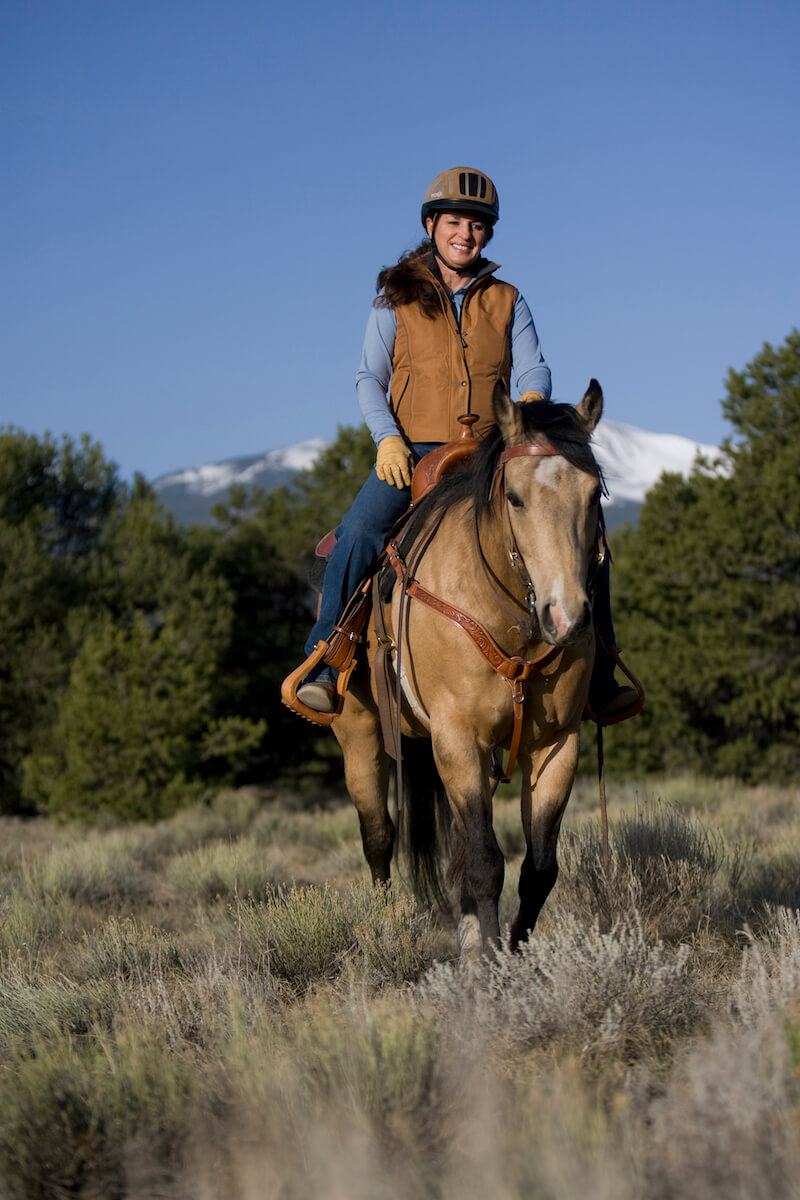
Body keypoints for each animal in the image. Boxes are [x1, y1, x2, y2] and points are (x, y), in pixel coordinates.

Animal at [332, 381, 605, 957]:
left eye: (595, 495)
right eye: (515, 497)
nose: (567, 616)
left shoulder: (557, 744)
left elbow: (538, 870)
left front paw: (510, 952)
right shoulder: (458, 739)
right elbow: (484, 864)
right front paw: (489, 961)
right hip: (361, 734)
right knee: (379, 836)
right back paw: (388, 925)